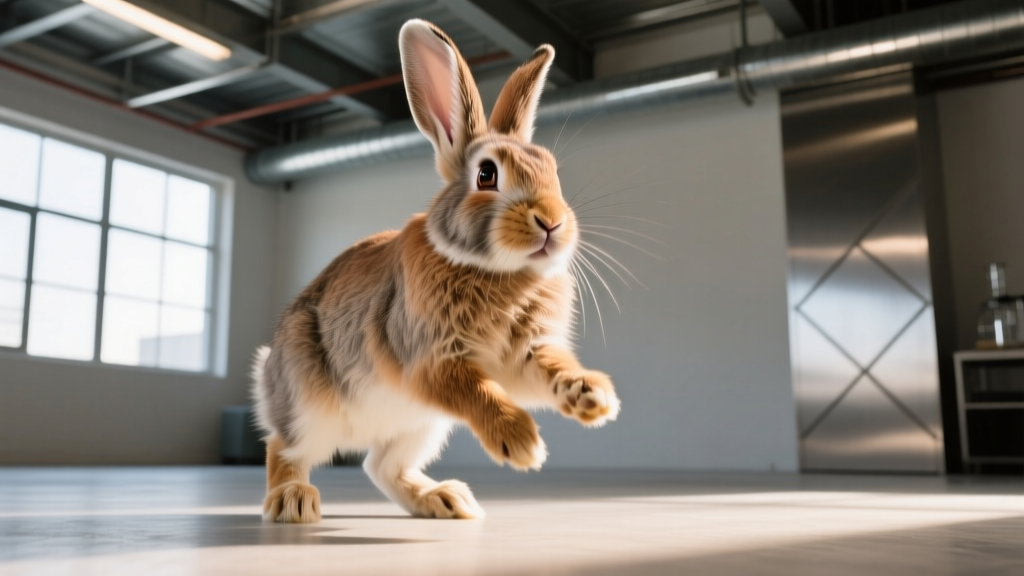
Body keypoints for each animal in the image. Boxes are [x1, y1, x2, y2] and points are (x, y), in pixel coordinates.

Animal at [251, 18, 621, 523]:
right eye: (486, 175)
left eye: (554, 172)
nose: (551, 222)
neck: (500, 272)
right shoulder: (430, 357)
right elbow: (475, 390)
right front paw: (520, 441)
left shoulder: (526, 354)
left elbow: (549, 368)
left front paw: (591, 396)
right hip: (307, 403)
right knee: (283, 447)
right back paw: (292, 501)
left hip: (421, 427)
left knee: (380, 466)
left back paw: (445, 500)